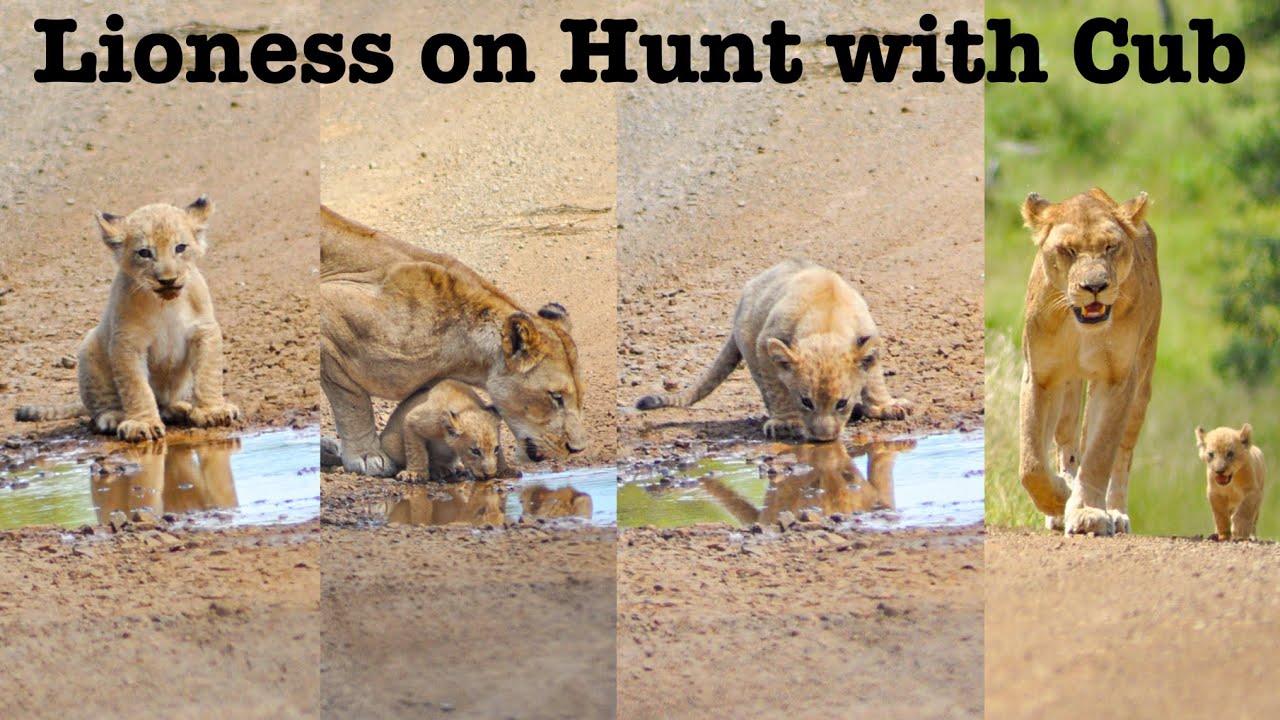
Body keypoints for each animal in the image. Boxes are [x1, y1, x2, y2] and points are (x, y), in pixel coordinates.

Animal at [15, 197, 240, 440]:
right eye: (144, 253)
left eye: (180, 248)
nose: (168, 280)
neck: (166, 303)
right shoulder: (127, 342)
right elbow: (136, 387)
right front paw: (142, 424)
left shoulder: (204, 331)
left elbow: (208, 375)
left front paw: (212, 411)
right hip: (89, 348)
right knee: (100, 407)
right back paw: (115, 418)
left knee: (165, 402)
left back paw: (179, 409)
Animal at [320, 206, 587, 477]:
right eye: (555, 396)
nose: (576, 449)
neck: (463, 355)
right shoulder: (329, 315)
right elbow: (352, 403)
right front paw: (367, 455)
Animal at [635, 258, 911, 442]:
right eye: (806, 402)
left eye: (841, 403)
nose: (823, 438)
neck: (827, 321)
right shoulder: (765, 343)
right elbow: (777, 388)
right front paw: (786, 422)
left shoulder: (869, 336)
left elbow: (874, 379)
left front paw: (884, 406)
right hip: (748, 341)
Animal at [1018, 188, 1161, 536]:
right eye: (1068, 250)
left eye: (1111, 247)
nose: (1095, 287)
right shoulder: (1041, 375)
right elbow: (1031, 463)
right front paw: (1060, 499)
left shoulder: (1117, 378)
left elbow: (1100, 453)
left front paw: (1087, 513)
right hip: (1069, 382)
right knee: (1067, 440)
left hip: (1142, 386)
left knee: (1123, 455)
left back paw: (1116, 513)